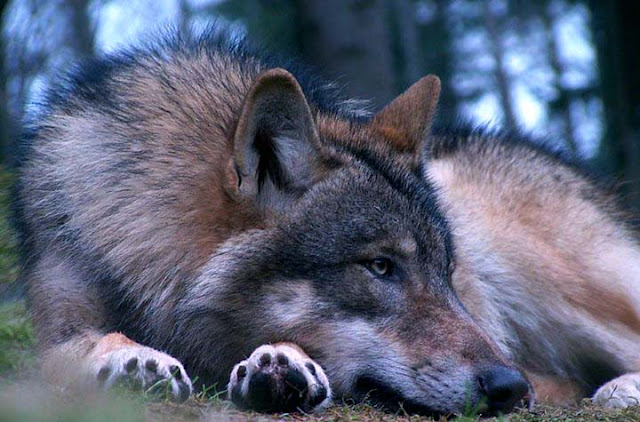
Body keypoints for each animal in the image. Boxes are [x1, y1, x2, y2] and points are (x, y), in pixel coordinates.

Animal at [12, 28, 639, 415]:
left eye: (447, 274)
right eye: (381, 267)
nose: (509, 387)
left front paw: (280, 362)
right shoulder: (59, 314)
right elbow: (77, 346)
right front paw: (131, 357)